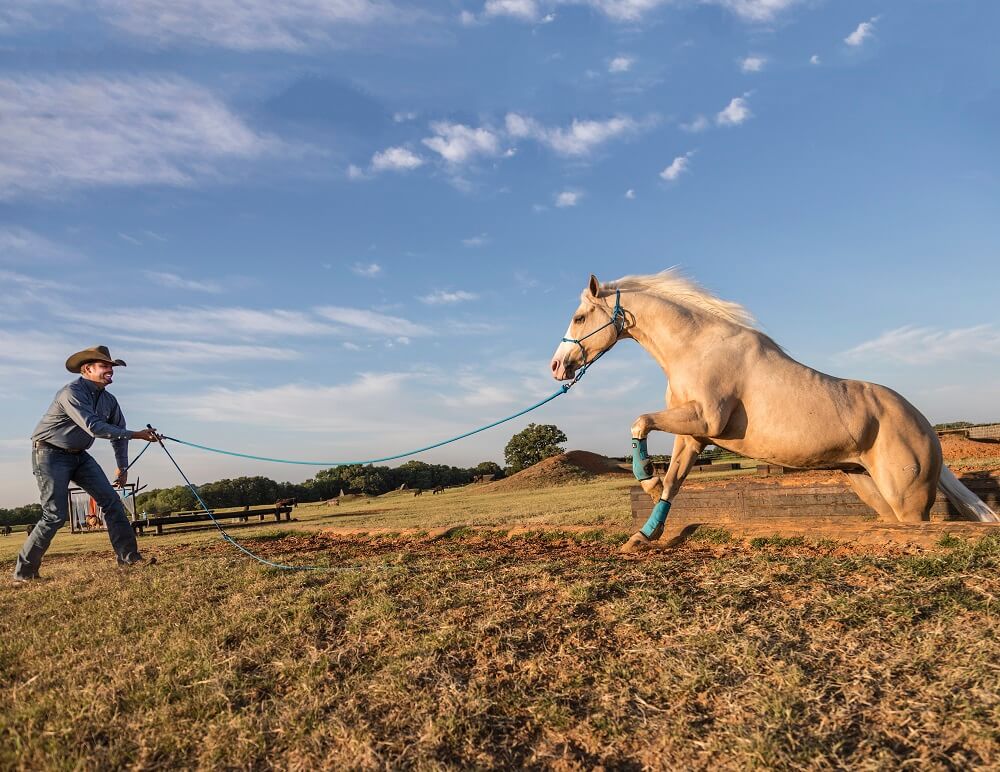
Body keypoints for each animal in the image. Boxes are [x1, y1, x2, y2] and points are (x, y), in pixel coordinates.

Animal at [550, 271, 998, 553]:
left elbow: (640, 421)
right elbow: (673, 480)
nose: (557, 366)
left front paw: (646, 480)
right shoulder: (694, 435)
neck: (697, 348)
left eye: (578, 317)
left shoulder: (706, 419)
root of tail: (921, 421)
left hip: (909, 498)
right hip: (868, 486)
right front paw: (644, 532)